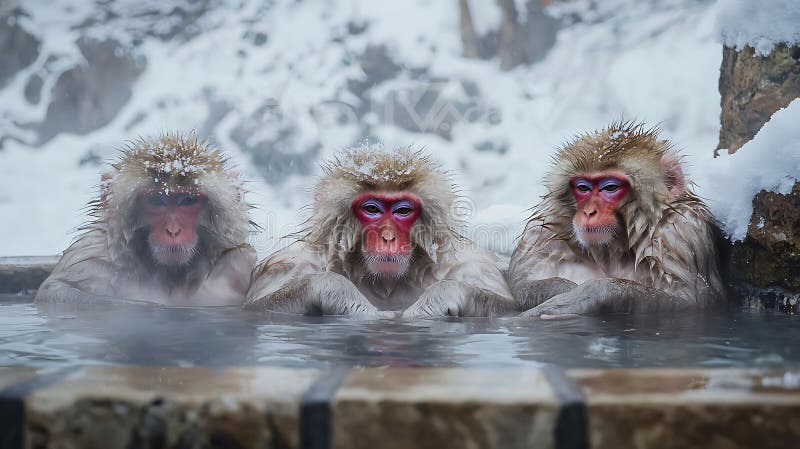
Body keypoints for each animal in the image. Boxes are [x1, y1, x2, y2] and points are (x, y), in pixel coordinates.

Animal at [34, 134, 257, 307]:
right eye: (157, 200)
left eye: (187, 200)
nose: (173, 230)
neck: (172, 278)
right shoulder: (90, 264)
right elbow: (56, 289)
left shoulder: (237, 265)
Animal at [244, 144, 517, 318]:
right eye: (372, 209)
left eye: (402, 211)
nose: (388, 237)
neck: (387, 284)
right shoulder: (291, 265)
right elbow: (252, 308)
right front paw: (337, 292)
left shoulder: (473, 267)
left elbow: (509, 306)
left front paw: (440, 298)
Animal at [509, 122, 725, 317]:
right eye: (583, 188)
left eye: (610, 187)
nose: (589, 212)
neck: (612, 250)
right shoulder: (542, 237)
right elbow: (522, 285)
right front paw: (562, 288)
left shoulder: (679, 233)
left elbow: (690, 301)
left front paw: (587, 295)